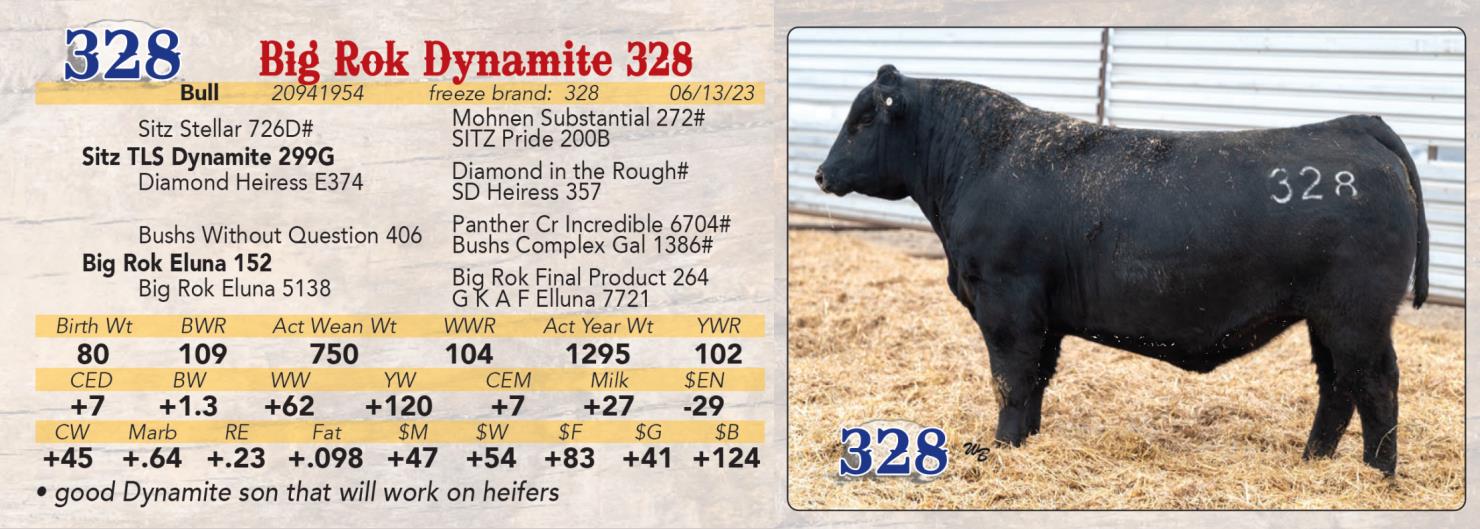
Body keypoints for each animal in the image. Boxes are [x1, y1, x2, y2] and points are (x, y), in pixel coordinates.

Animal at [813, 65, 1429, 476]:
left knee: (1376, 383)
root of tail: (1353, 124)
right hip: (1327, 317)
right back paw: (1312, 463)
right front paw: (1029, 440)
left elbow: (1010, 380)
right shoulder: (1043, 318)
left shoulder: (1007, 305)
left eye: (863, 120)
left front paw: (1004, 448)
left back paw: (1377, 474)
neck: (976, 163)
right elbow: (1035, 381)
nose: (819, 173)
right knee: (1337, 385)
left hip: (1357, 315)